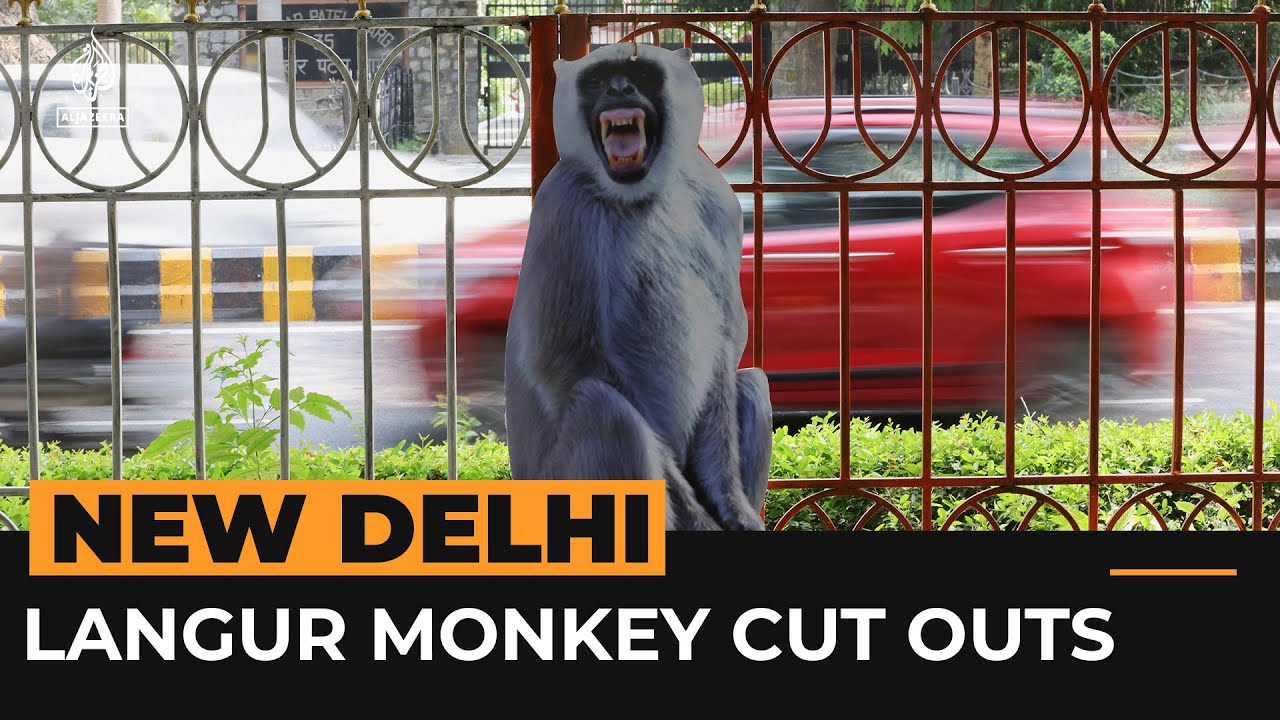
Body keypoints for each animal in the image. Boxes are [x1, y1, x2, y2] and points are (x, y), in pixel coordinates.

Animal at [503, 42, 772, 531]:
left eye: (640, 74)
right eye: (597, 79)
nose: (618, 88)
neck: (638, 195)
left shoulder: (717, 200)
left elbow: (724, 343)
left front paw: (732, 507)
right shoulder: (563, 203)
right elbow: (565, 362)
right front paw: (701, 518)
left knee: (751, 384)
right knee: (607, 412)